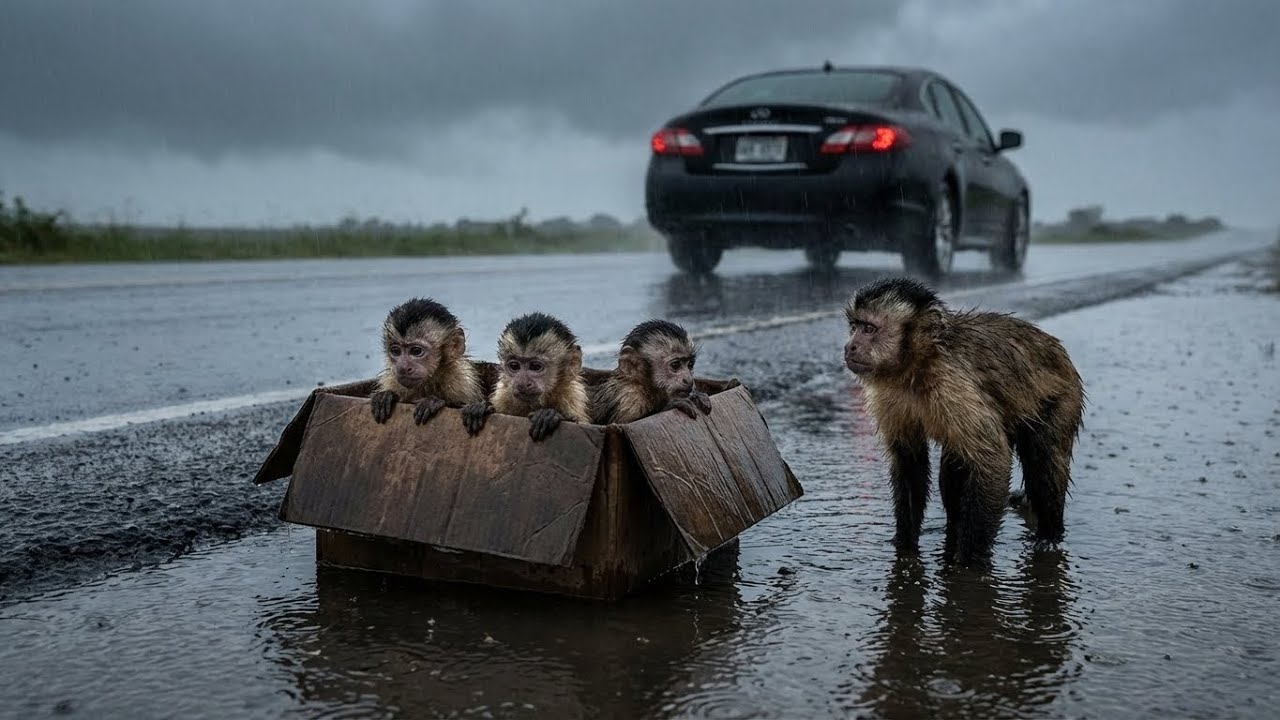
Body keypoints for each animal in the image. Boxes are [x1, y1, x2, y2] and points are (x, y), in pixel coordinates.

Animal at [460, 312, 589, 441]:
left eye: (535, 366)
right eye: (514, 366)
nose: (522, 383)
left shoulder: (570, 395)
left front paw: (549, 415)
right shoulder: (503, 394)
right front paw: (479, 407)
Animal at [842, 276, 1085, 567]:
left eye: (869, 329)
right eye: (854, 327)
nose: (849, 346)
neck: (917, 366)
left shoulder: (953, 385)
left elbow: (993, 460)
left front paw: (969, 564)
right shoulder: (889, 396)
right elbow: (909, 461)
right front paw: (905, 545)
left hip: (1063, 396)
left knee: (1043, 459)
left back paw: (1050, 534)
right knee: (955, 463)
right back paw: (953, 529)